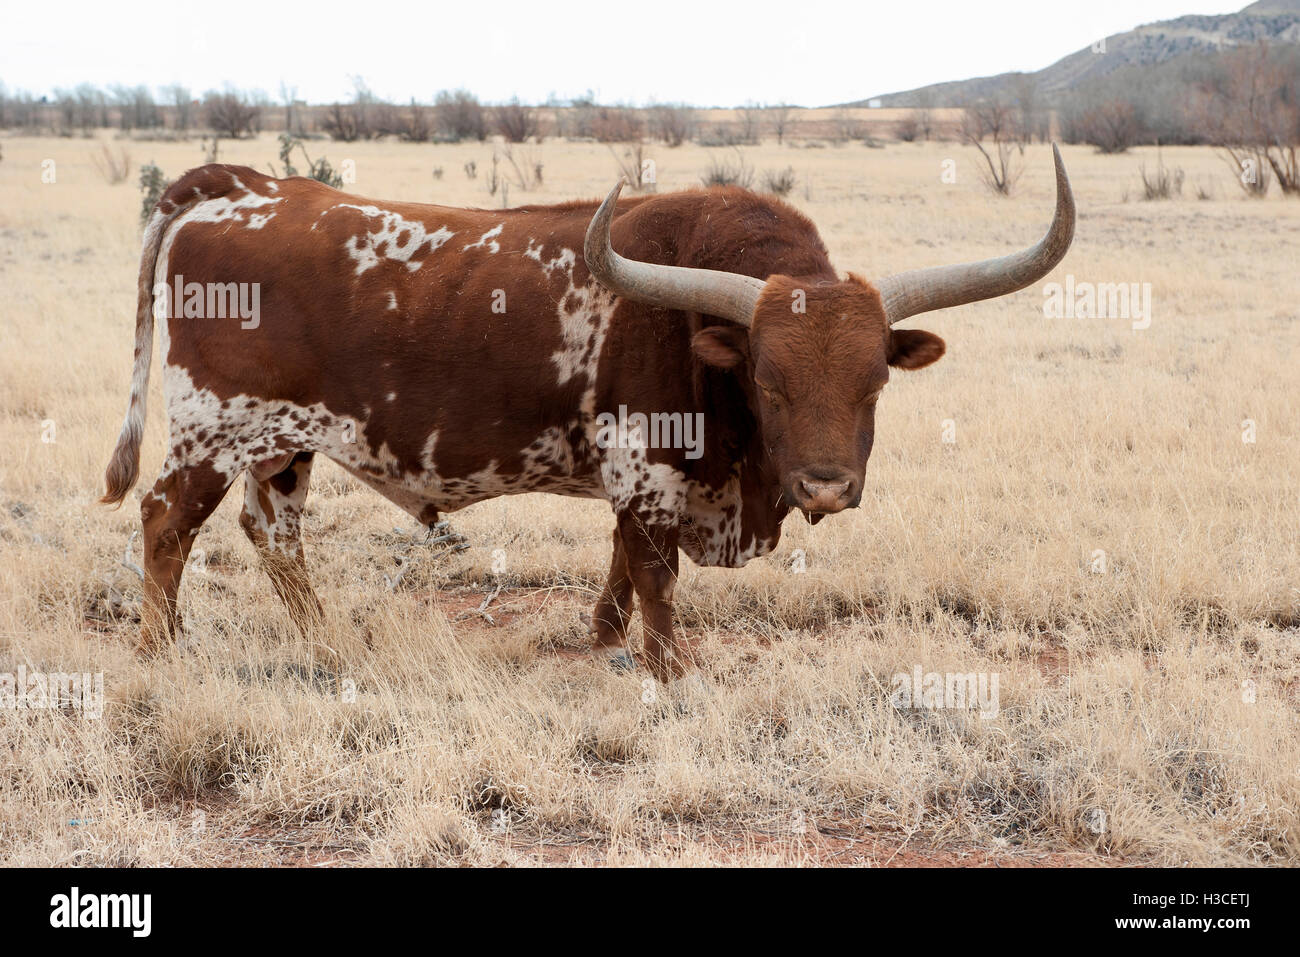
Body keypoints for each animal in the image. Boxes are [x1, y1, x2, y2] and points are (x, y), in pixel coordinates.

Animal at [102, 147, 1074, 682]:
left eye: (875, 381)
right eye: (768, 381)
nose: (828, 485)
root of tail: (242, 187)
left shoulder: (637, 476)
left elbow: (619, 558)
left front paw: (604, 632)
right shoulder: (648, 468)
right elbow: (654, 570)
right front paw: (670, 666)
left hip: (283, 443)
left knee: (273, 532)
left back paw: (325, 641)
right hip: (211, 430)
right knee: (166, 523)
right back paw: (160, 649)